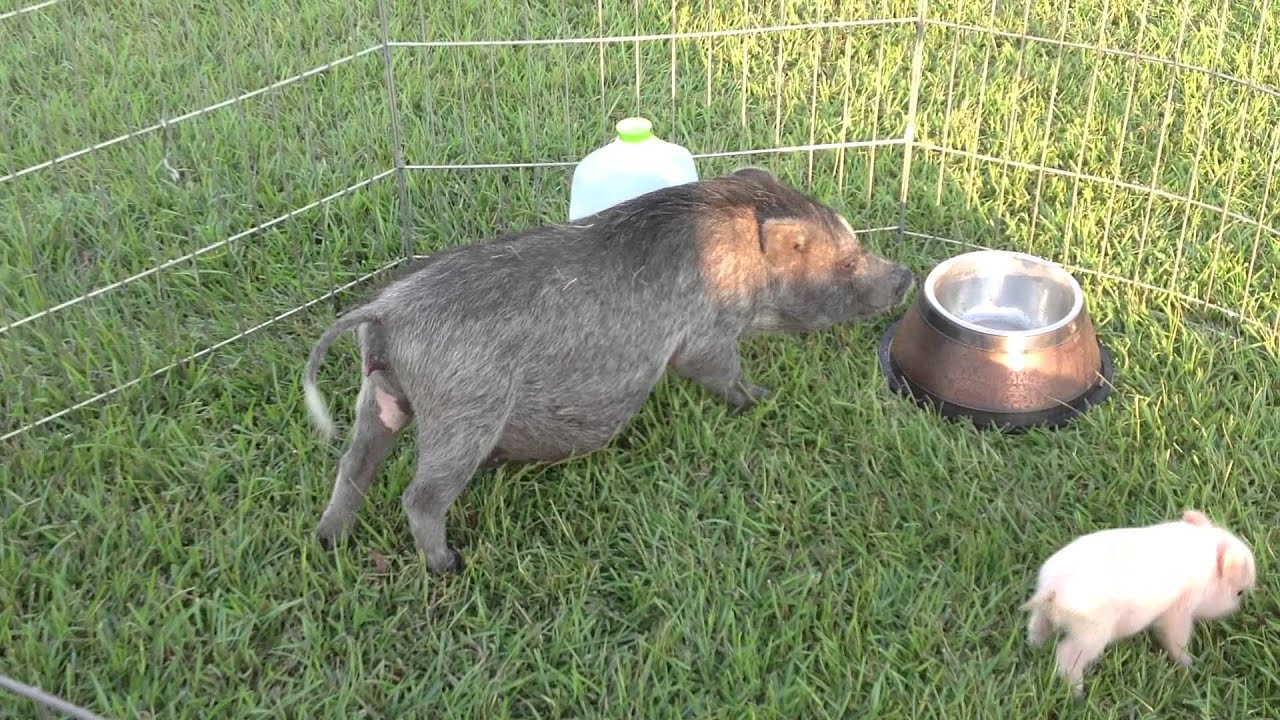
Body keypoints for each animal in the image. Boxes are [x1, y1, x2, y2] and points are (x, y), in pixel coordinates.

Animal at [302, 167, 913, 575]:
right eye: (848, 257)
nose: (906, 276)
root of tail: (385, 311)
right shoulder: (706, 335)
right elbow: (720, 371)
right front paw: (760, 396)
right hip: (464, 411)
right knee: (420, 496)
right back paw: (449, 564)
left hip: (379, 397)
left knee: (352, 466)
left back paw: (328, 540)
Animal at [1021, 510, 1257, 698]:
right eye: (1239, 592)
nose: (1236, 610)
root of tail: (1053, 588)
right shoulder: (1178, 610)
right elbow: (1175, 638)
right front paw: (1189, 666)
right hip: (1091, 631)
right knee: (1065, 654)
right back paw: (1079, 695)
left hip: (1045, 614)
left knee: (1036, 628)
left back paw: (1034, 650)